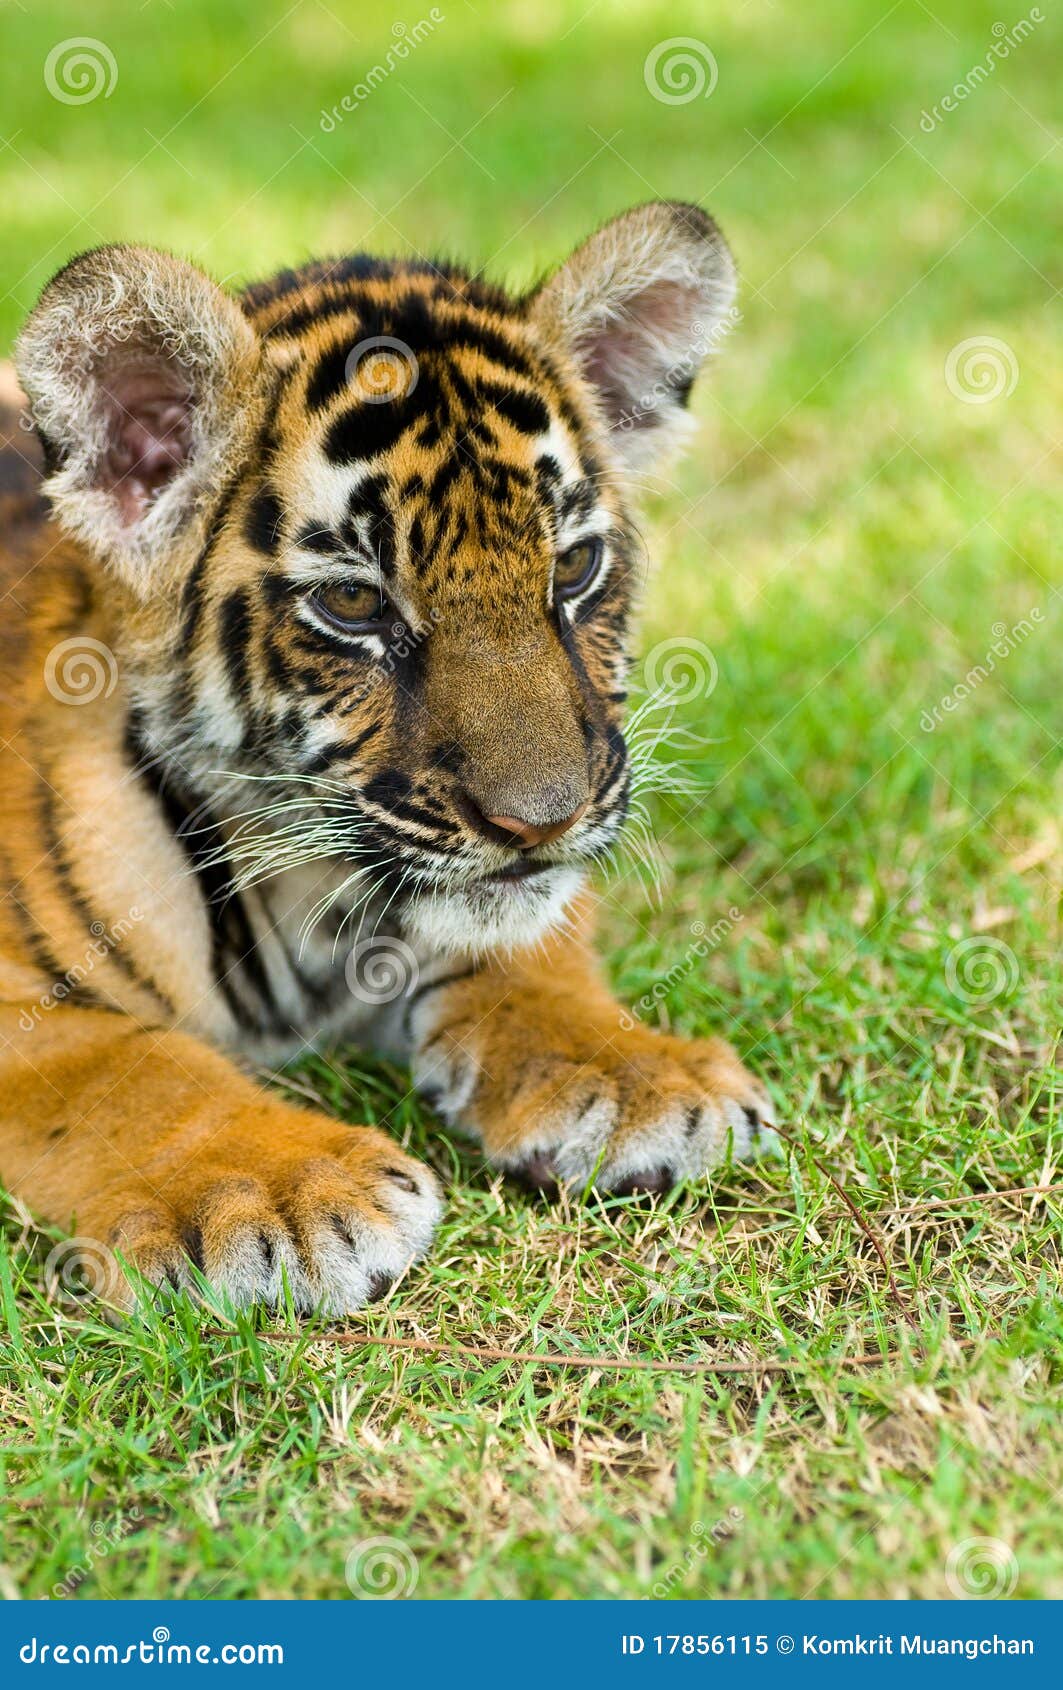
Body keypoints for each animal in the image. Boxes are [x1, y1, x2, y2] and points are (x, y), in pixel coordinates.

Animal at [0, 200, 777, 1313]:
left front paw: (631, 1076)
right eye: (354, 602)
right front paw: (272, 1190)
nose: (541, 820)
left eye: (574, 567)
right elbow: (124, 1066)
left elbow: (539, 956)